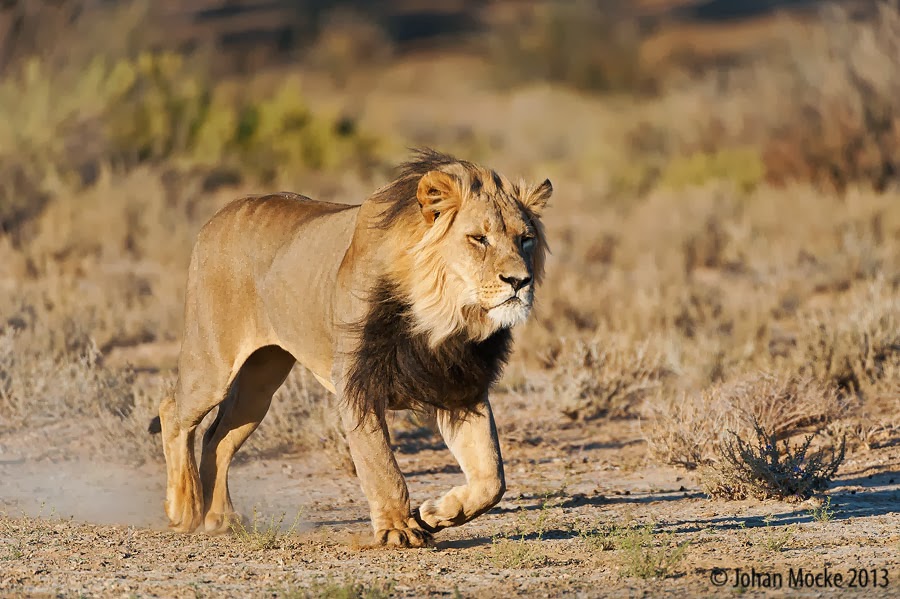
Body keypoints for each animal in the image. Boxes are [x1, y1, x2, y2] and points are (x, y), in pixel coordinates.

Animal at [149, 149, 552, 547]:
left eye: (525, 239)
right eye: (478, 239)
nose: (519, 281)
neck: (445, 314)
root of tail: (219, 216)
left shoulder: (460, 387)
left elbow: (491, 478)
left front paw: (435, 514)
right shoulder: (356, 382)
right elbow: (380, 464)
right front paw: (398, 528)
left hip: (259, 384)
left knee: (218, 437)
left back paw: (220, 520)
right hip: (212, 365)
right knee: (173, 411)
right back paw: (184, 509)